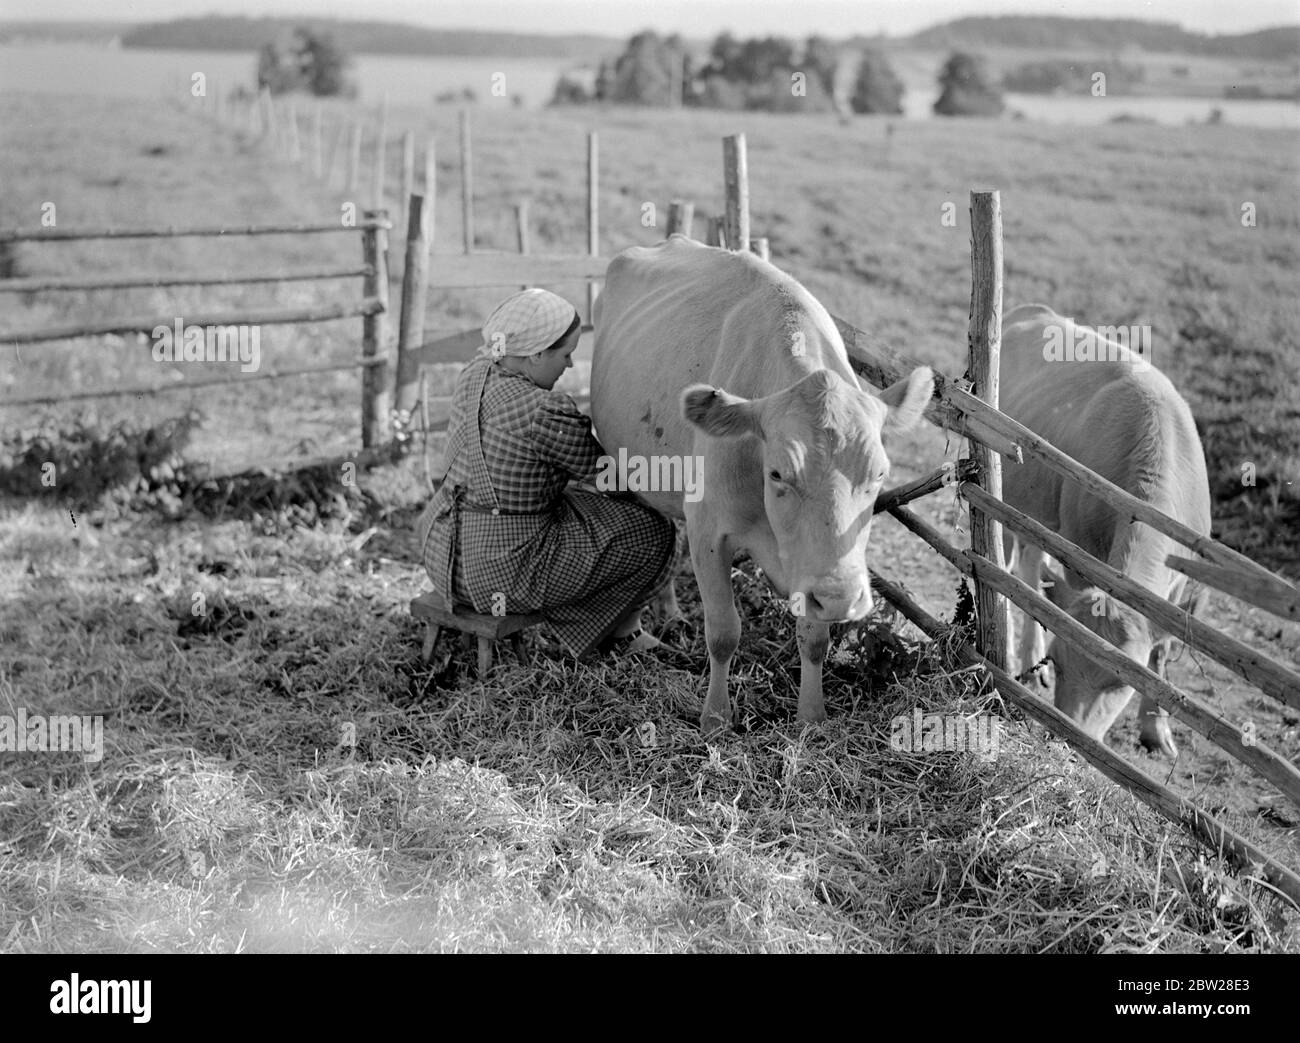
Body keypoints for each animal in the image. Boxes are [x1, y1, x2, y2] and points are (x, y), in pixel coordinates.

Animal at [591, 235, 934, 734]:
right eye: (778, 473)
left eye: (880, 474)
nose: (841, 598)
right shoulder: (710, 530)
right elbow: (723, 632)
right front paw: (715, 716)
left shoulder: (813, 570)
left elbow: (813, 637)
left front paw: (811, 716)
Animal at [999, 304, 1211, 757]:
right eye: (1059, 661)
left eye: (1118, 684)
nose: (1066, 739)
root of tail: (1032, 311)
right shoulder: (1080, 557)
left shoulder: (1177, 590)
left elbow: (1161, 653)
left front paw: (1156, 731)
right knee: (1008, 572)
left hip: (1041, 513)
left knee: (1031, 569)